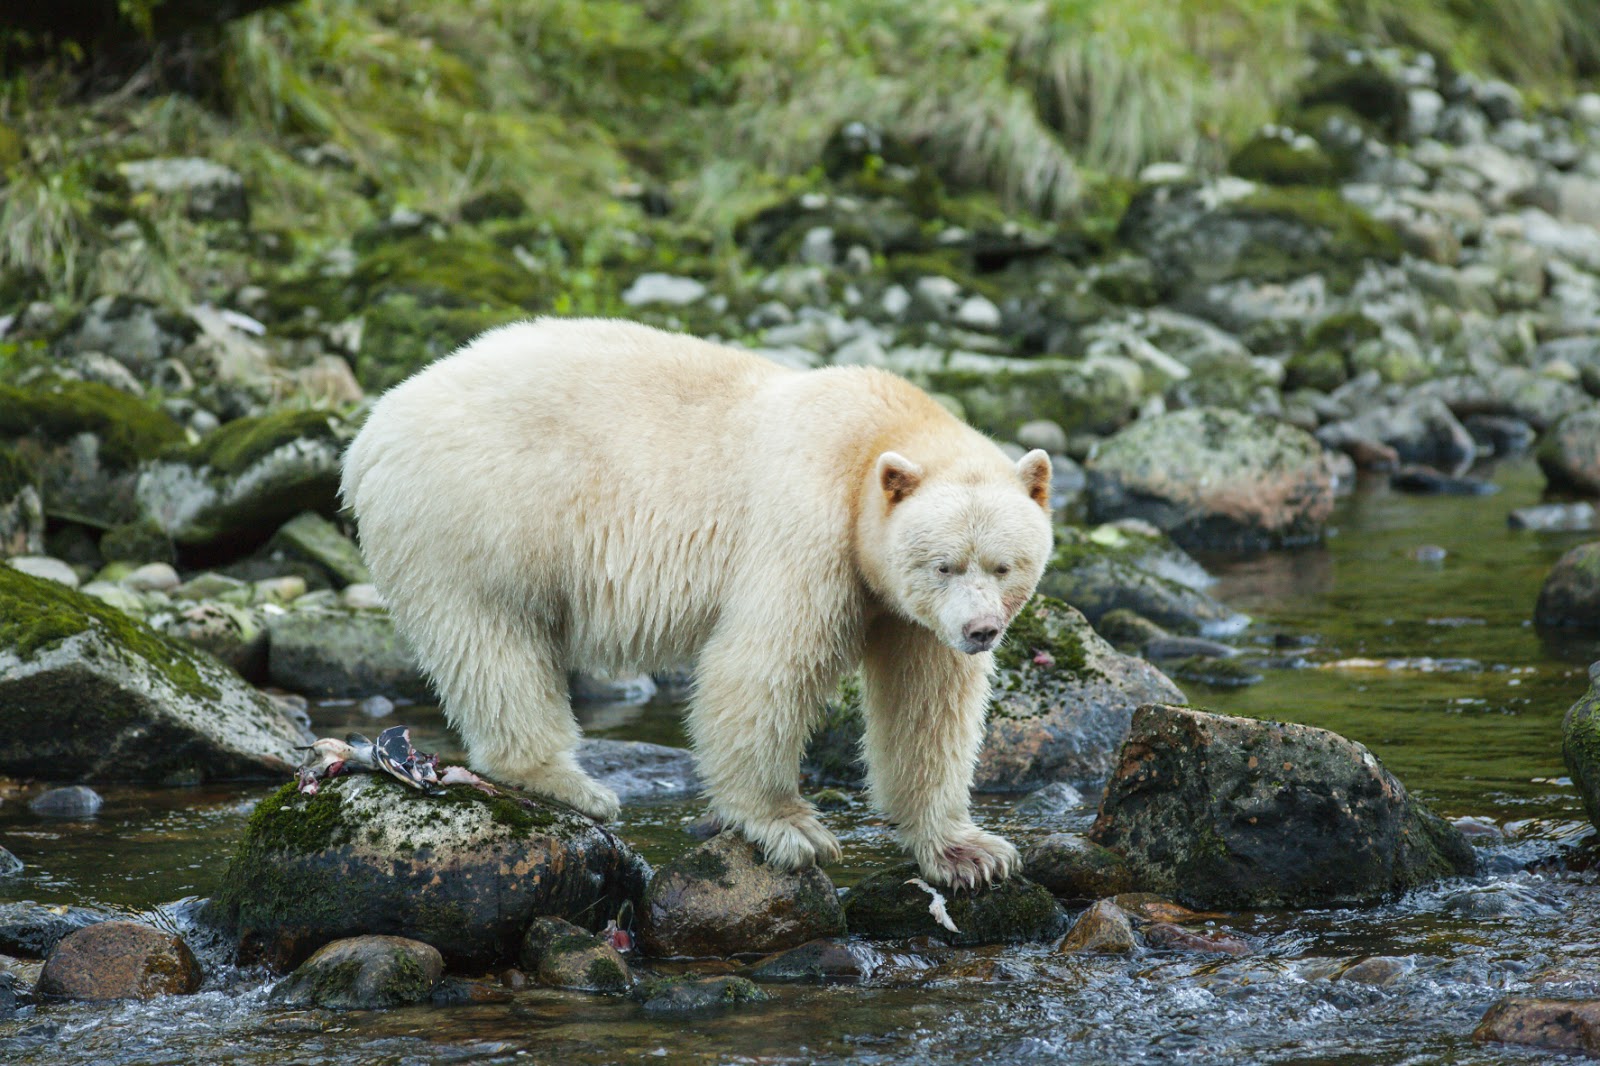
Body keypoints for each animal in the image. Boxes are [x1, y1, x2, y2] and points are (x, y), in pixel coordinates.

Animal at [341, 317, 1054, 887]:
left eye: (1005, 565)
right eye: (944, 565)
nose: (981, 630)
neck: (874, 437)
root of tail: (371, 433)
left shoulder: (908, 614)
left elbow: (927, 703)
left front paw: (969, 851)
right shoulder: (809, 530)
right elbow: (763, 665)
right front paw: (791, 828)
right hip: (475, 514)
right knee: (494, 641)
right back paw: (571, 784)